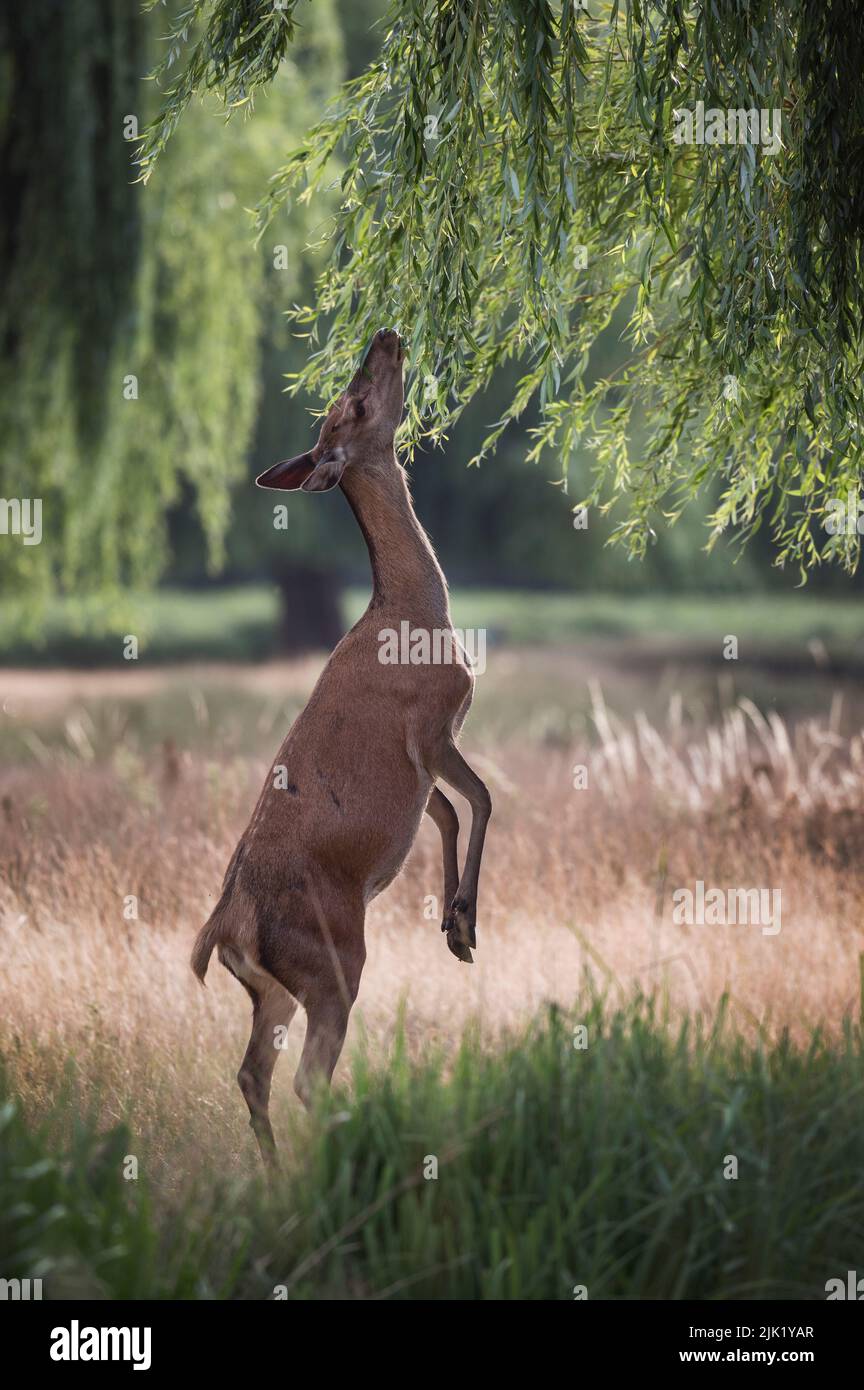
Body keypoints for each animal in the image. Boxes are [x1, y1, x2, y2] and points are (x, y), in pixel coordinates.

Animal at [191, 328, 491, 1168]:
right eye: (353, 405)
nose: (385, 335)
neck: (417, 614)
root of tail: (223, 931)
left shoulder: (425, 759)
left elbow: (446, 814)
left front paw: (453, 923)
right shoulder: (433, 721)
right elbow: (481, 800)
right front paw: (466, 921)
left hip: (272, 986)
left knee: (252, 1072)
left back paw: (276, 1174)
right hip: (332, 959)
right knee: (305, 1077)